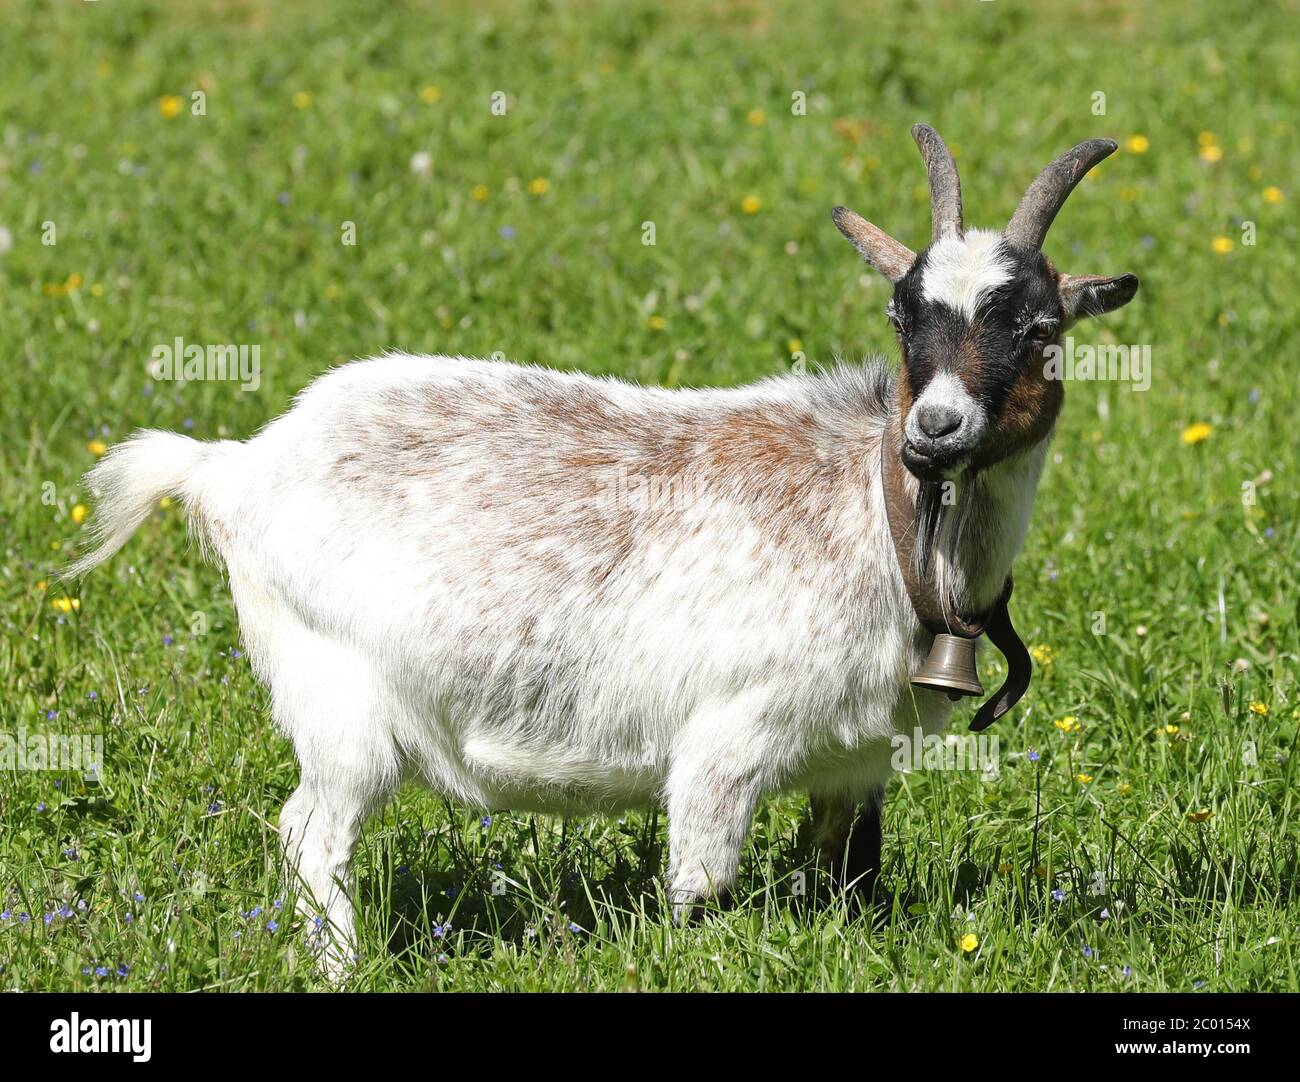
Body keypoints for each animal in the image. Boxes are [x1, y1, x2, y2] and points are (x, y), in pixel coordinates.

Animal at [70, 124, 1137, 970]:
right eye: (903, 314)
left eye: (1038, 325)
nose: (935, 429)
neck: (873, 513)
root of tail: (234, 468)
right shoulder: (727, 740)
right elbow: (699, 889)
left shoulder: (856, 758)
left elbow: (846, 876)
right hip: (338, 695)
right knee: (310, 835)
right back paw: (343, 966)